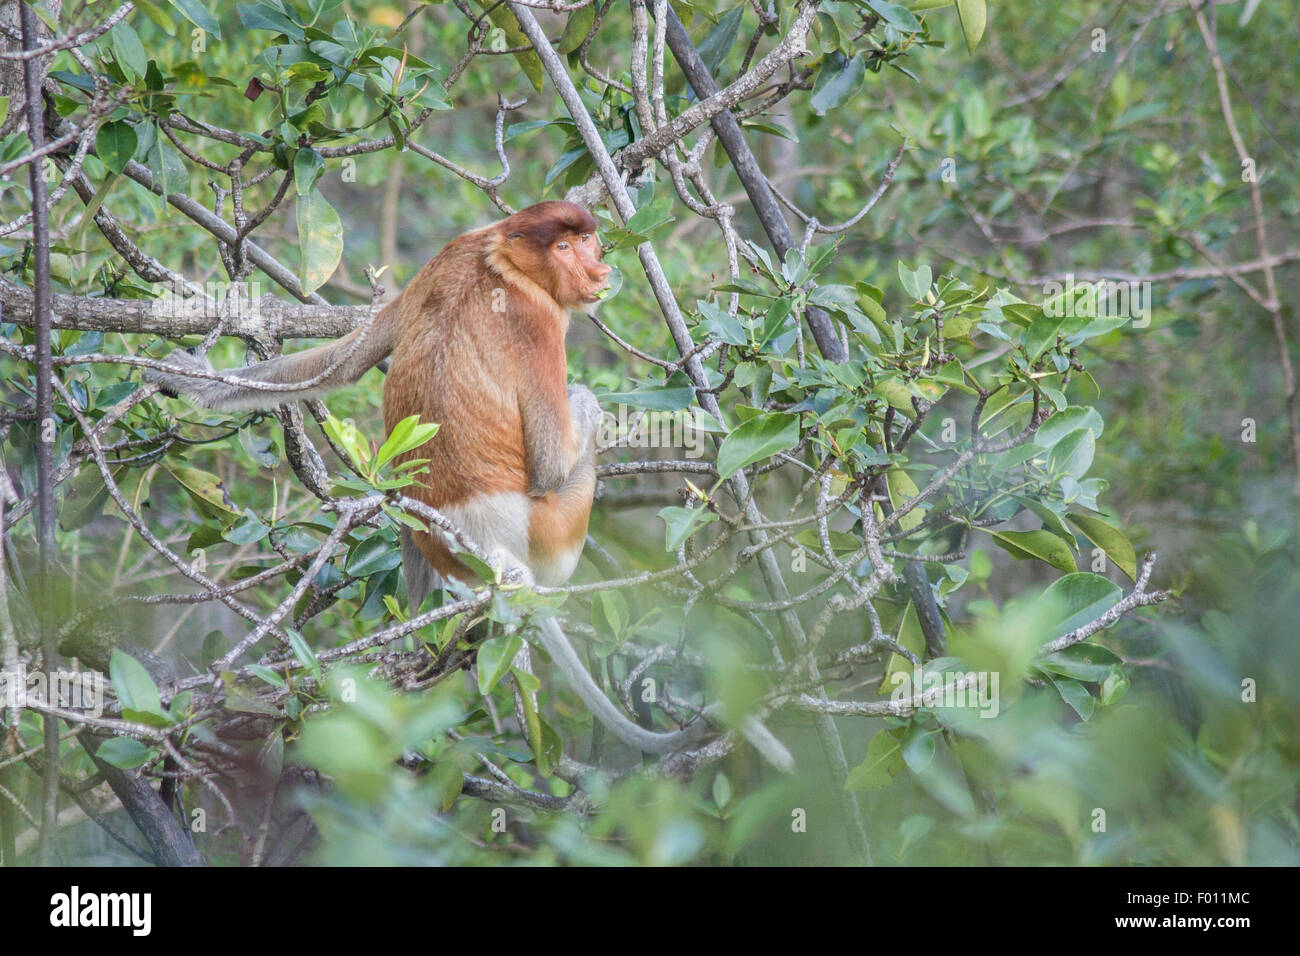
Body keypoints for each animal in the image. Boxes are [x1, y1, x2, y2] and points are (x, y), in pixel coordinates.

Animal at [147, 200, 711, 757]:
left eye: (587, 239)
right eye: (563, 246)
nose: (596, 271)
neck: (499, 262)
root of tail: (491, 545)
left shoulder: (447, 255)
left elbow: (345, 363)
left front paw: (187, 380)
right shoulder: (539, 319)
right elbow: (552, 461)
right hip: (557, 534)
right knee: (577, 427)